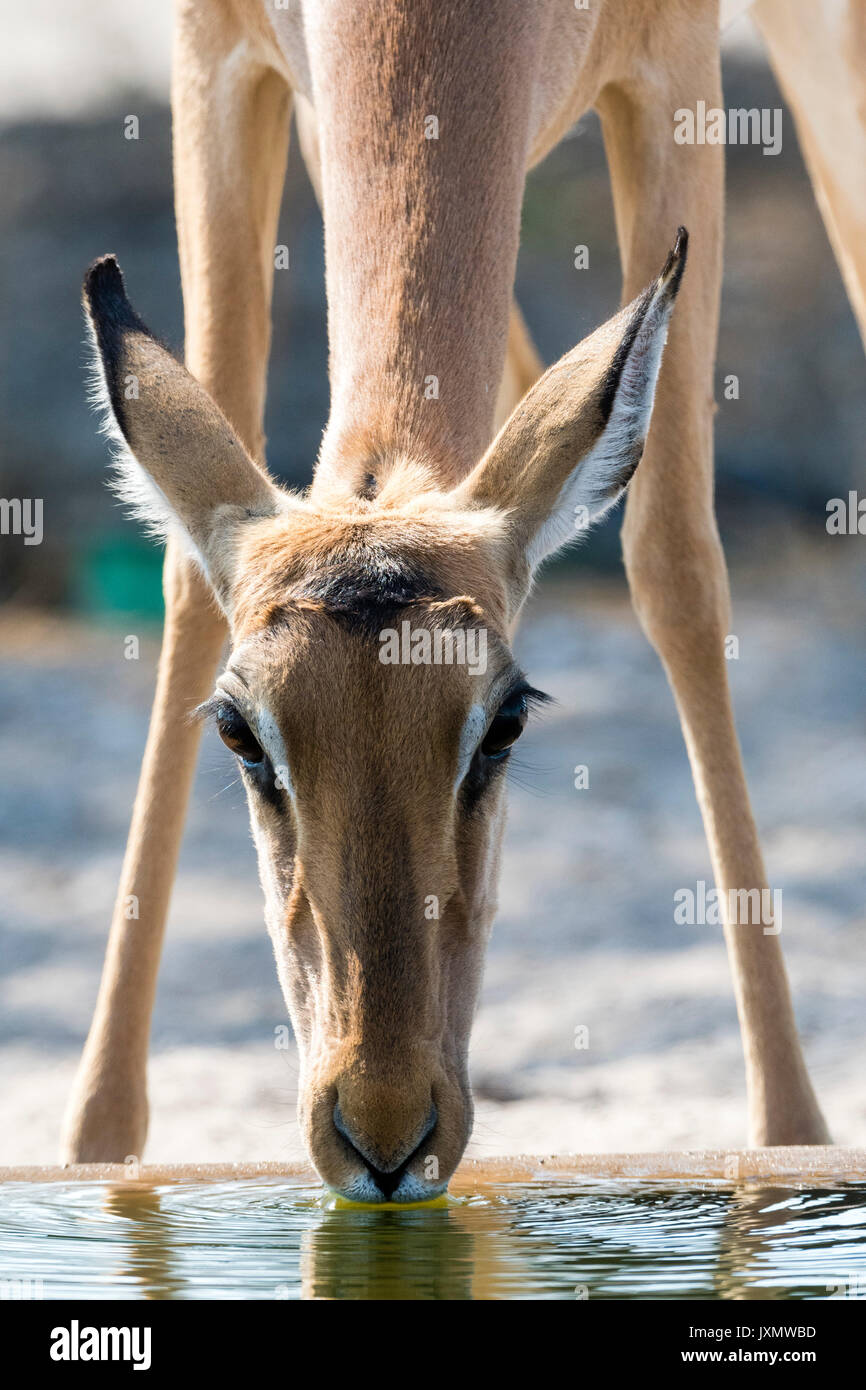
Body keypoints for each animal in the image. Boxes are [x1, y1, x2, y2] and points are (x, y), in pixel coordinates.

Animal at [62, 0, 864, 1202]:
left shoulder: (672, 80)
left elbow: (675, 565)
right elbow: (185, 575)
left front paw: (789, 1142)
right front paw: (92, 1148)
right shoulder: (216, 62)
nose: (385, 1132)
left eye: (505, 725)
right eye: (241, 733)